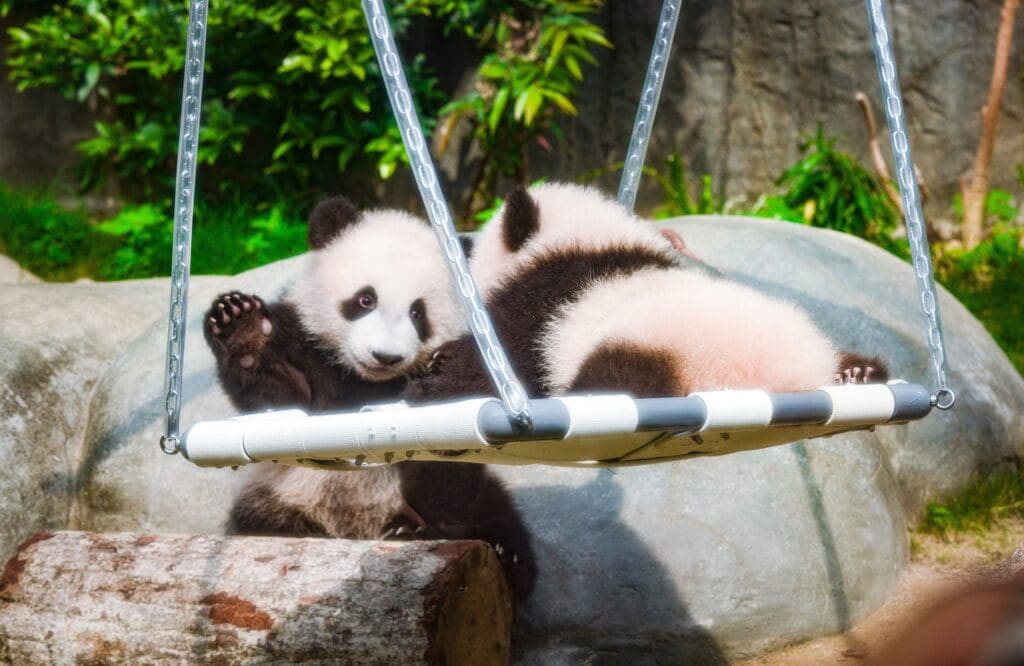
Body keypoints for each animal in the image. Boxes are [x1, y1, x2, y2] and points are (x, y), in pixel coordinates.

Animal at [203, 195, 536, 601]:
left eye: (417, 313)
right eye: (365, 300)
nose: (385, 356)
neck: (368, 381)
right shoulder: (308, 348)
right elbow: (279, 405)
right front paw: (244, 329)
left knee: (490, 511)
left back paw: (477, 546)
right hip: (280, 493)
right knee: (258, 521)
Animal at [403, 182, 886, 405]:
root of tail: (792, 375)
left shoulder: (542, 306)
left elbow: (504, 361)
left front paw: (435, 373)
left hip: (655, 346)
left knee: (612, 381)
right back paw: (858, 372)